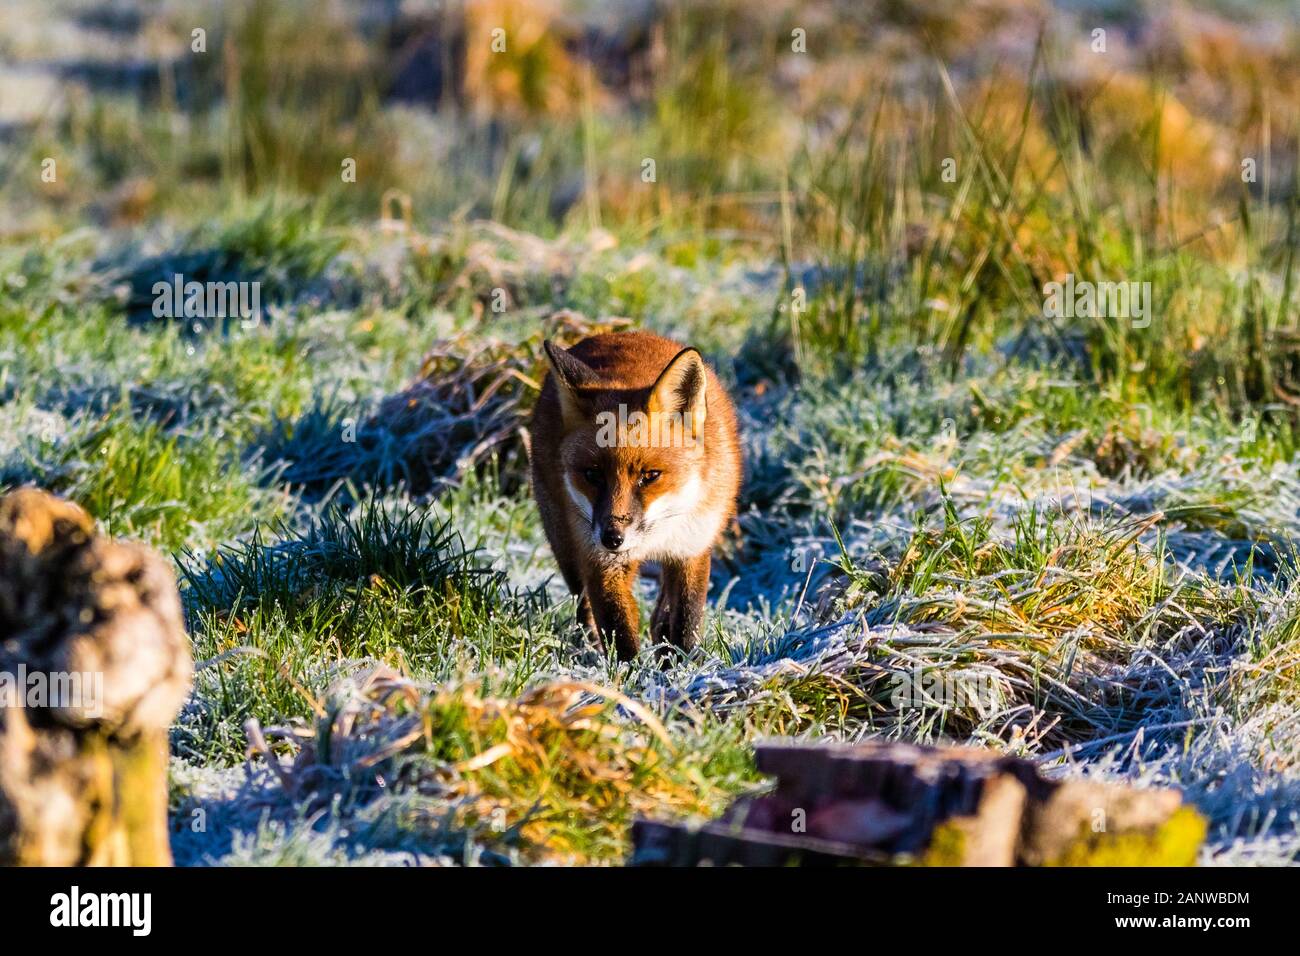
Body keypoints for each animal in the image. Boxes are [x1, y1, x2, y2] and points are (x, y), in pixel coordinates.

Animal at [529, 331, 742, 661]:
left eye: (650, 475)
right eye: (593, 474)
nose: (612, 538)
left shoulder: (692, 548)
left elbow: (686, 623)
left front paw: (680, 668)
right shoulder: (602, 563)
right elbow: (619, 632)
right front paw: (630, 674)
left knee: (661, 611)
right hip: (565, 544)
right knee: (583, 607)